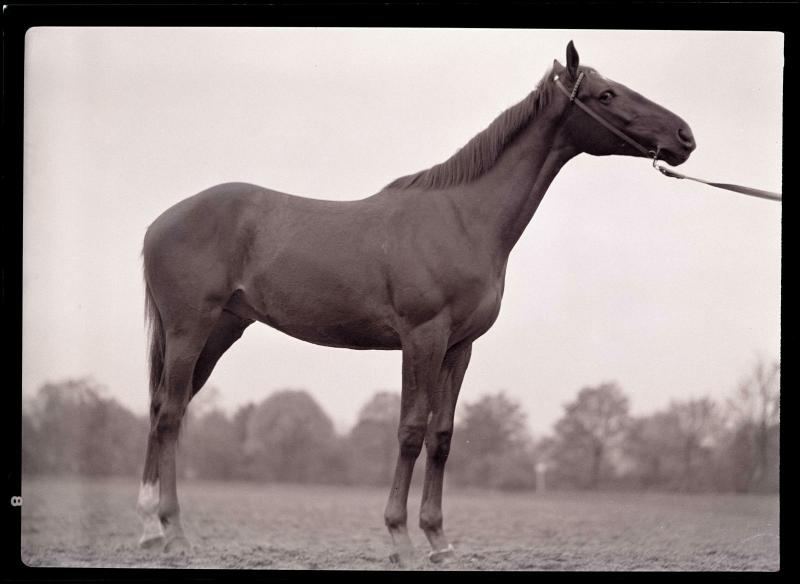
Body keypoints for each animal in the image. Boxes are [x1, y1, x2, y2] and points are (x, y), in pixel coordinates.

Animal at [137, 41, 695, 564]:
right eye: (607, 95)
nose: (685, 137)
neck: (463, 218)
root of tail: (159, 223)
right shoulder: (422, 337)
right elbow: (409, 430)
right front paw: (400, 539)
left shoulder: (459, 347)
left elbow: (441, 437)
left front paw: (439, 540)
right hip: (190, 329)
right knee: (170, 416)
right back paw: (175, 535)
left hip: (220, 331)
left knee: (163, 405)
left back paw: (148, 529)